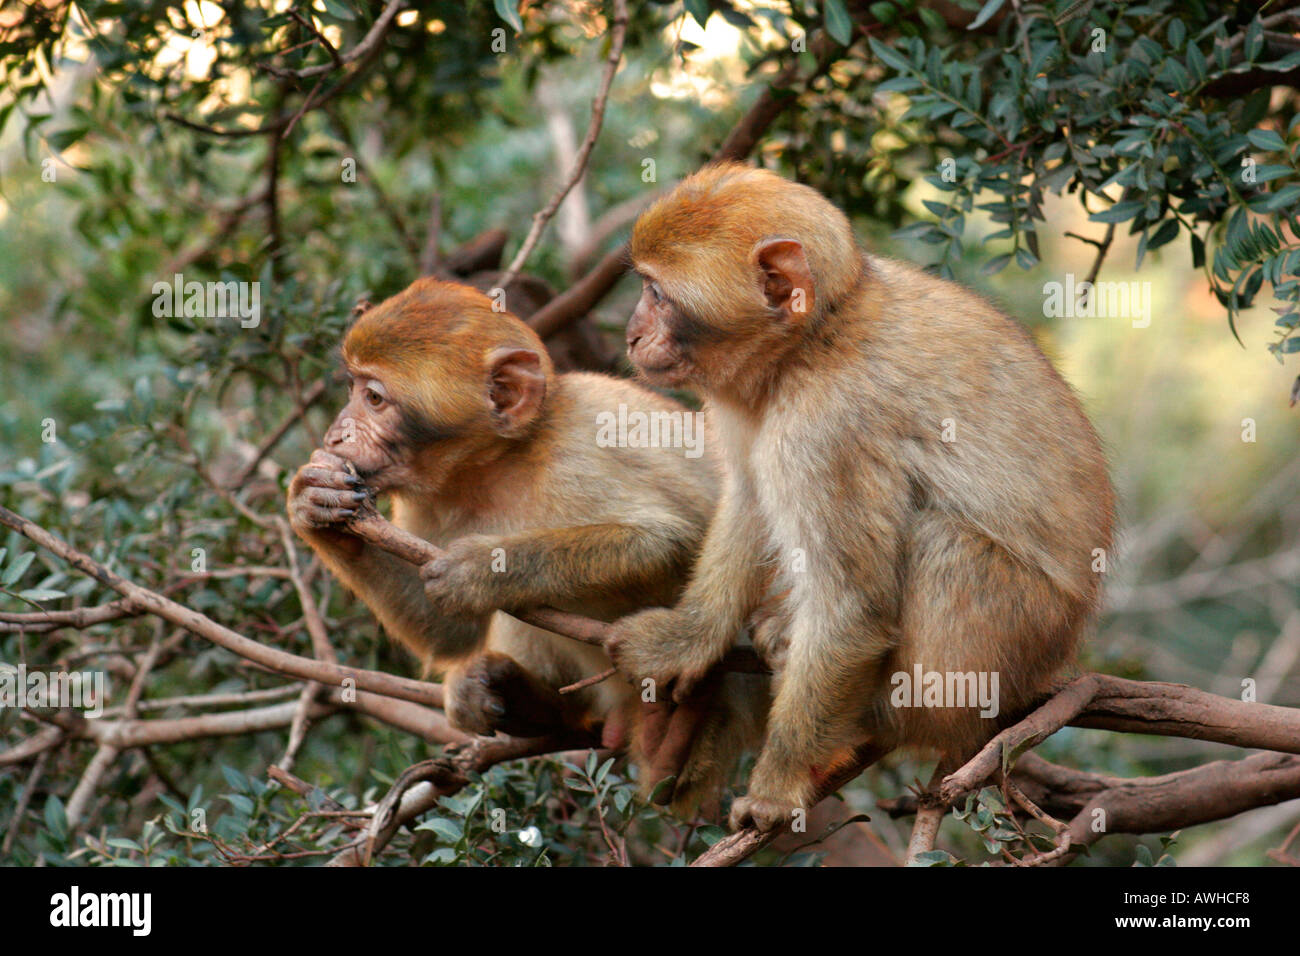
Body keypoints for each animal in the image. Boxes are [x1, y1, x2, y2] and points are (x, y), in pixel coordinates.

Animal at [286, 277, 765, 811]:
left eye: (373, 398)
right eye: (352, 388)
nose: (335, 435)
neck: (496, 467)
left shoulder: (573, 459)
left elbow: (668, 540)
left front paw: (480, 569)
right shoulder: (423, 501)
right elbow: (449, 632)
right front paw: (315, 503)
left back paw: (672, 741)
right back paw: (529, 703)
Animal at [606, 162, 1115, 833]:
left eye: (658, 295)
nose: (632, 334)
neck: (811, 340)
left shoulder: (827, 428)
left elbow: (851, 609)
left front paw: (778, 786)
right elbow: (749, 502)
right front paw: (689, 639)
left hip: (1016, 631)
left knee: (941, 543)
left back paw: (879, 720)